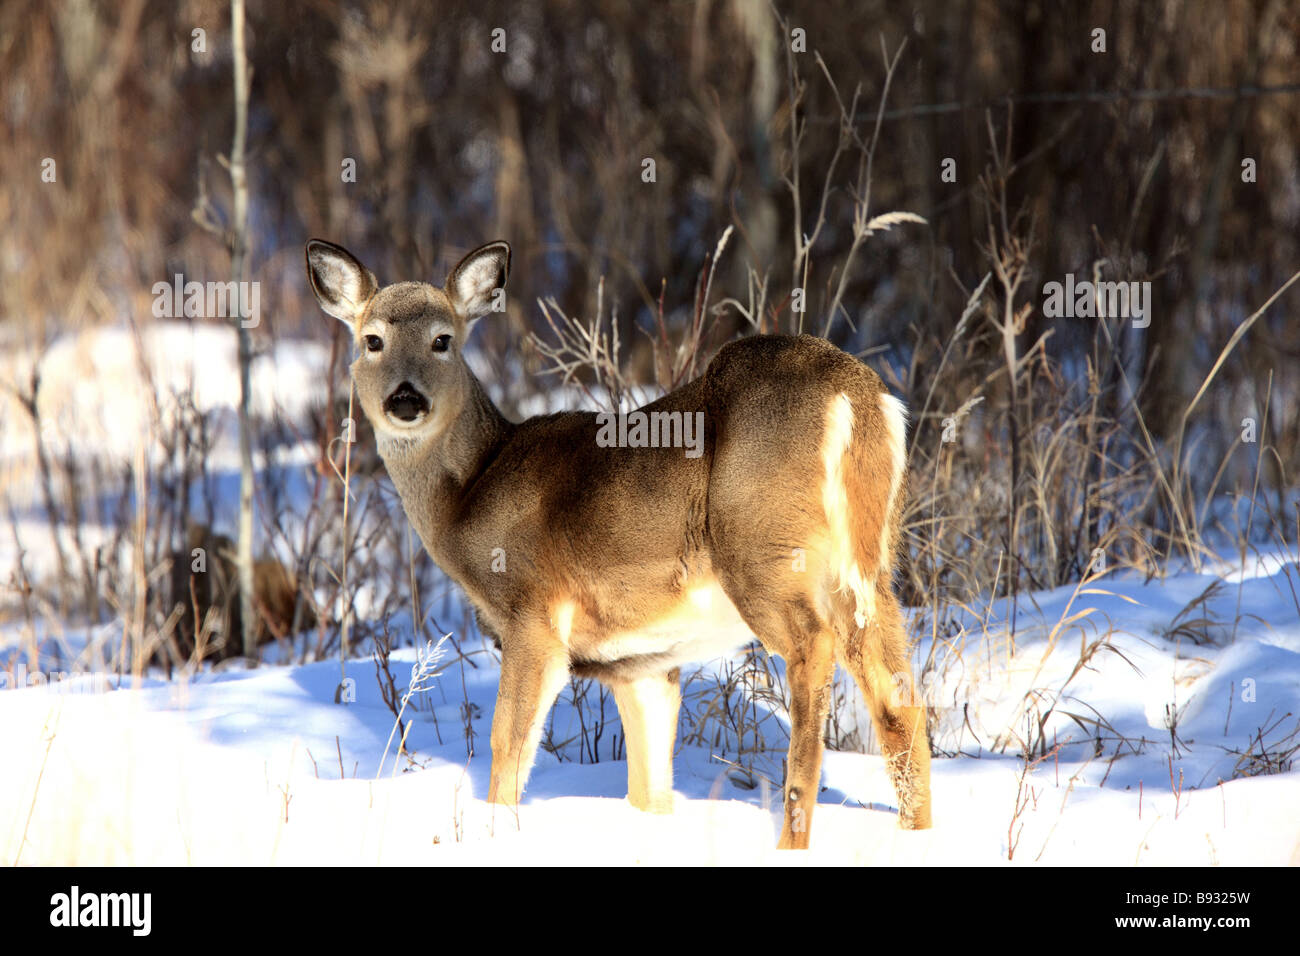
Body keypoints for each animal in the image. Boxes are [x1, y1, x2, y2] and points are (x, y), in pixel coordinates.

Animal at [305, 238, 932, 848]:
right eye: (372, 340)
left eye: (443, 340)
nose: (405, 399)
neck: (471, 490)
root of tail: (859, 399)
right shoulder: (641, 663)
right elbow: (648, 789)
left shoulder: (532, 613)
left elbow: (508, 747)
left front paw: (494, 831)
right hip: (873, 566)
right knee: (901, 697)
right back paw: (917, 835)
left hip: (764, 548)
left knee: (813, 651)